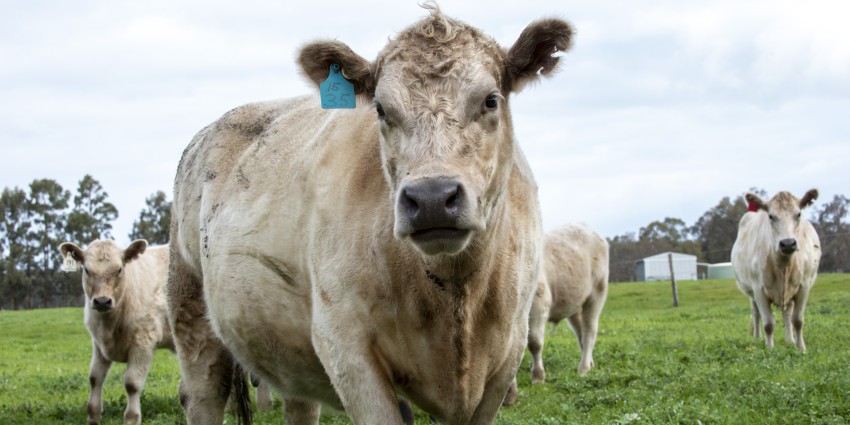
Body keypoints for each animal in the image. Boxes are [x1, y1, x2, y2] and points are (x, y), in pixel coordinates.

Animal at [58, 239, 173, 425]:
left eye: (119, 269)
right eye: (87, 270)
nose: (102, 301)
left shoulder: (143, 343)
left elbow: (132, 384)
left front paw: (132, 418)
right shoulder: (98, 343)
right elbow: (95, 378)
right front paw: (94, 415)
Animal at [166, 4, 574, 424]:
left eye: (491, 100)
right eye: (380, 109)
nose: (431, 197)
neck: (454, 293)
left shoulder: (507, 354)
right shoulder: (345, 347)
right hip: (189, 307)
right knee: (203, 392)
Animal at [504, 223, 609, 405]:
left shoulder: (539, 304)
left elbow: (534, 343)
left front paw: (538, 377)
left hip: (597, 293)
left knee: (589, 332)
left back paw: (583, 367)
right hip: (574, 304)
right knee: (581, 334)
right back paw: (590, 362)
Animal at [731, 189, 821, 351]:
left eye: (798, 214)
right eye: (771, 216)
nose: (788, 243)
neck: (783, 264)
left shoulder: (804, 287)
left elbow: (798, 320)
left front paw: (801, 348)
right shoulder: (758, 289)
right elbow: (768, 323)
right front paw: (770, 348)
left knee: (787, 313)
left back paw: (789, 340)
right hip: (751, 292)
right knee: (756, 313)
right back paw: (757, 337)